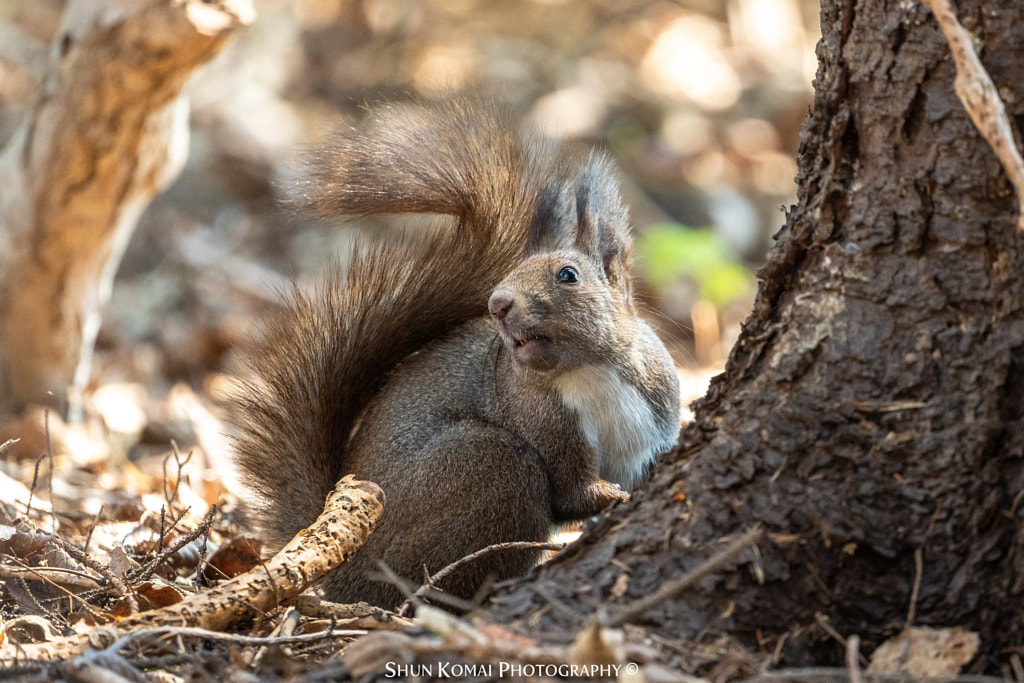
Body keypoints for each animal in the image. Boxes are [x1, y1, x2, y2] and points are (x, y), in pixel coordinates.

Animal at [227, 100, 681, 609]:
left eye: (568, 275)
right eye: (513, 271)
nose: (497, 303)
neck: (588, 371)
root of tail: (346, 567)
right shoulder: (542, 422)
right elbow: (573, 493)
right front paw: (615, 498)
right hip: (488, 464)